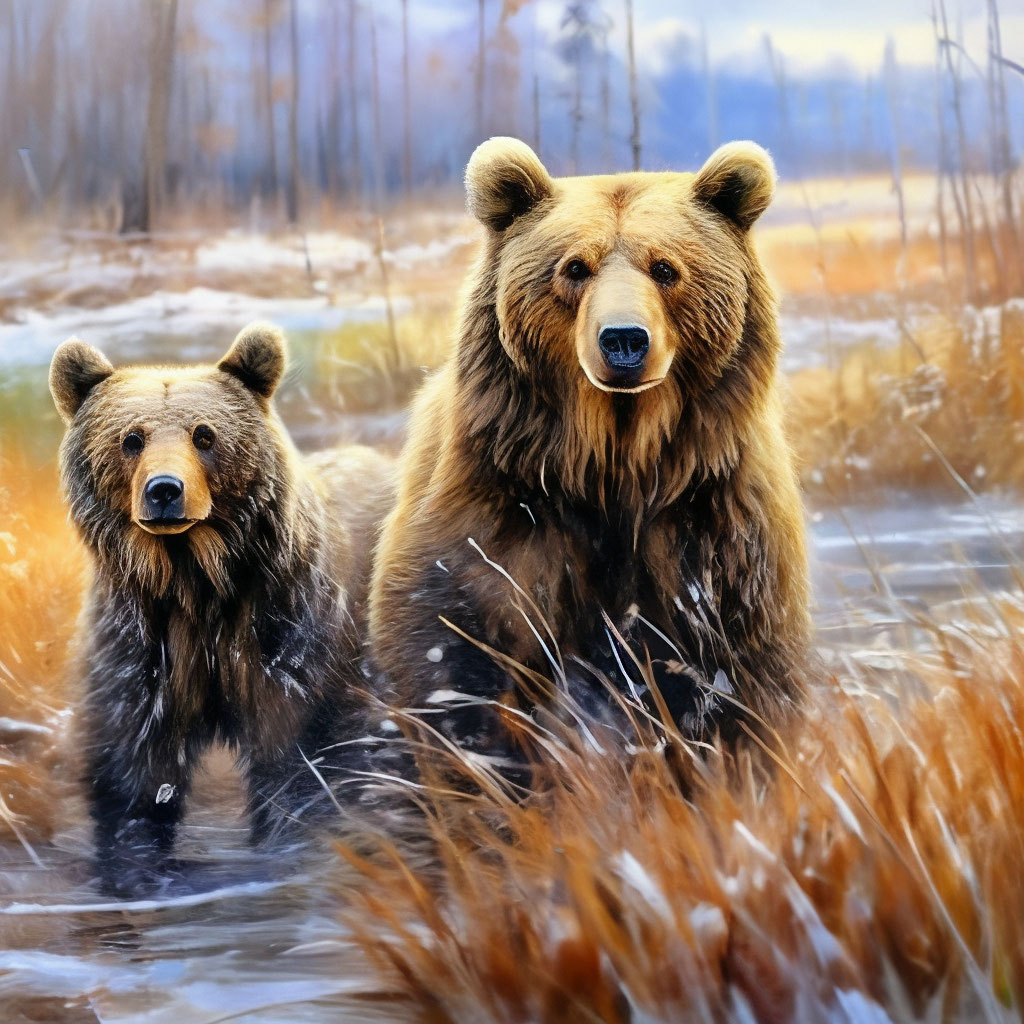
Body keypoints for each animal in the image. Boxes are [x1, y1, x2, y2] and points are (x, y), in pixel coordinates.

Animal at [49, 323, 395, 894]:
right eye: (131, 438)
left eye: (204, 435)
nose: (164, 491)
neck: (194, 582)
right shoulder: (140, 643)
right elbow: (131, 765)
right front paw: (135, 866)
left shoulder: (287, 634)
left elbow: (298, 755)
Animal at [368, 137, 810, 767]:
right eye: (575, 267)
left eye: (665, 268)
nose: (623, 339)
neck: (614, 462)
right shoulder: (499, 512)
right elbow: (454, 656)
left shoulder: (717, 533)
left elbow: (741, 680)